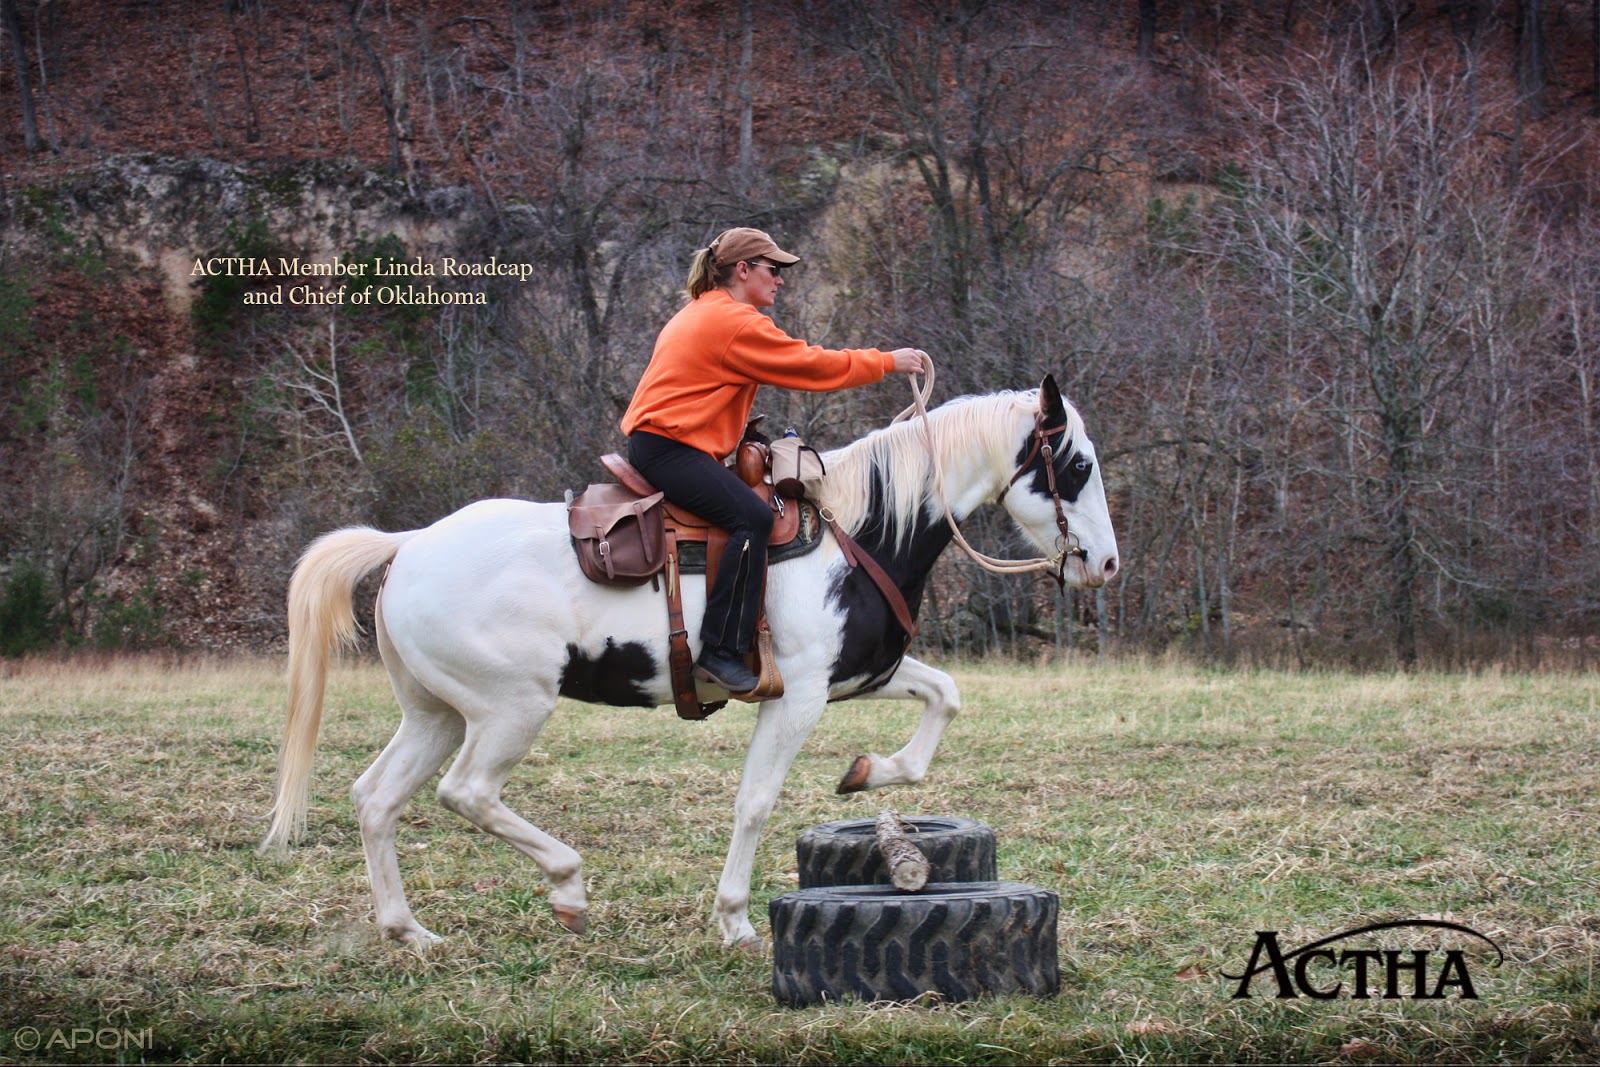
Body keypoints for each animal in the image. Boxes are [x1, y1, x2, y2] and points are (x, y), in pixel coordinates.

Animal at [260, 374, 1119, 948]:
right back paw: (567, 885)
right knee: (466, 792)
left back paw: (410, 931)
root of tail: (408, 545)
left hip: (435, 712)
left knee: (376, 798)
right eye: (1075, 465)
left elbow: (944, 695)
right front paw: (735, 918)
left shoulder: (854, 676)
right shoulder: (796, 696)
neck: (856, 532)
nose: (1105, 565)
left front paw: (869, 771)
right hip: (511, 709)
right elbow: (755, 802)